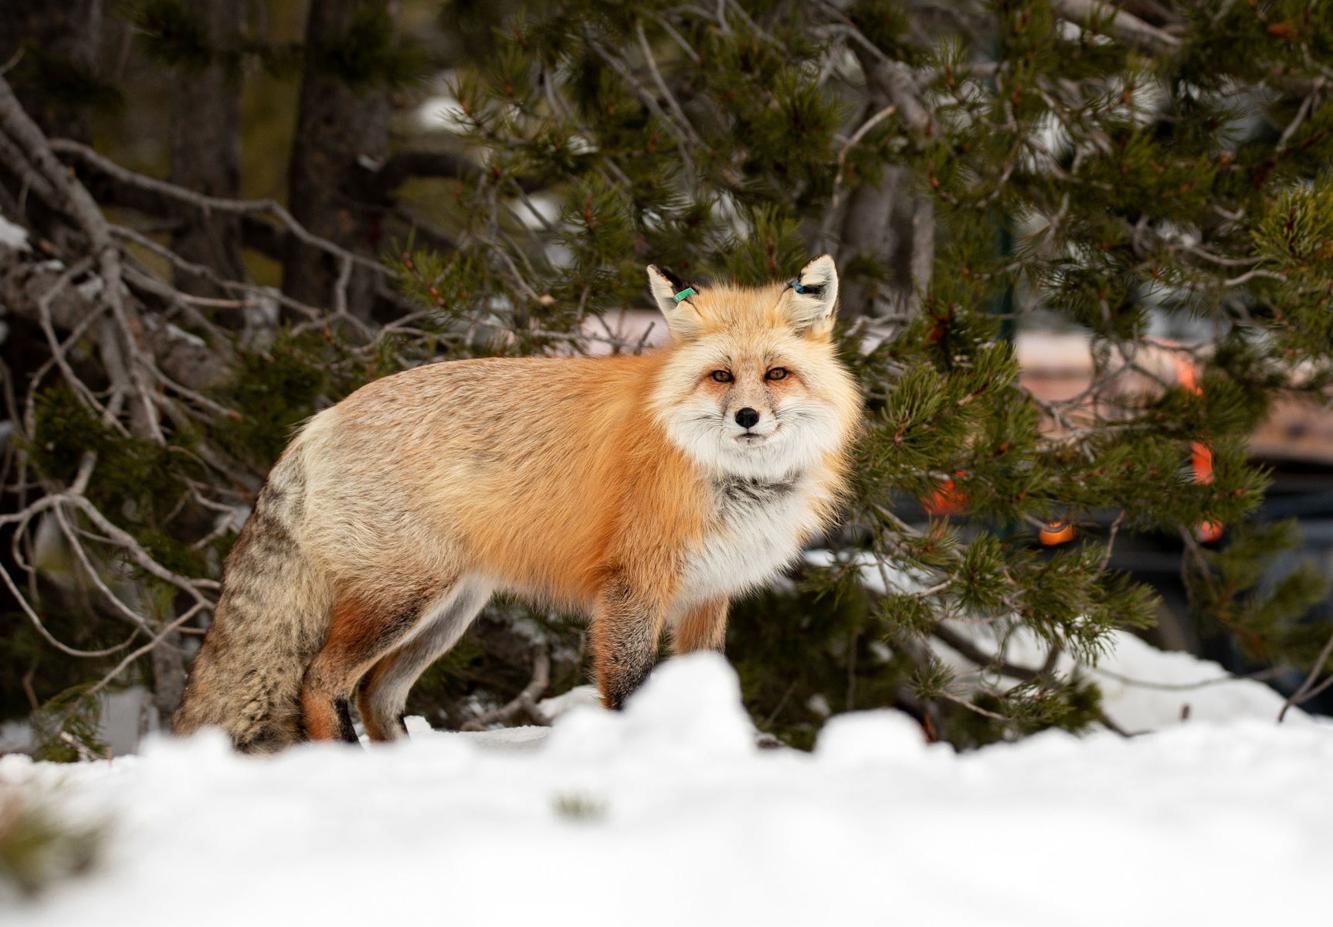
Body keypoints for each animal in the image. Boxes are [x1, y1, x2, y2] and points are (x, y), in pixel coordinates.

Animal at [173, 255, 861, 752]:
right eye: (721, 377)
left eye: (775, 375)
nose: (746, 417)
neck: (722, 477)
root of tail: (319, 420)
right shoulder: (633, 589)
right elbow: (627, 693)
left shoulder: (708, 593)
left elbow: (706, 692)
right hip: (402, 598)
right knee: (321, 682)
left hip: (449, 610)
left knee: (376, 696)